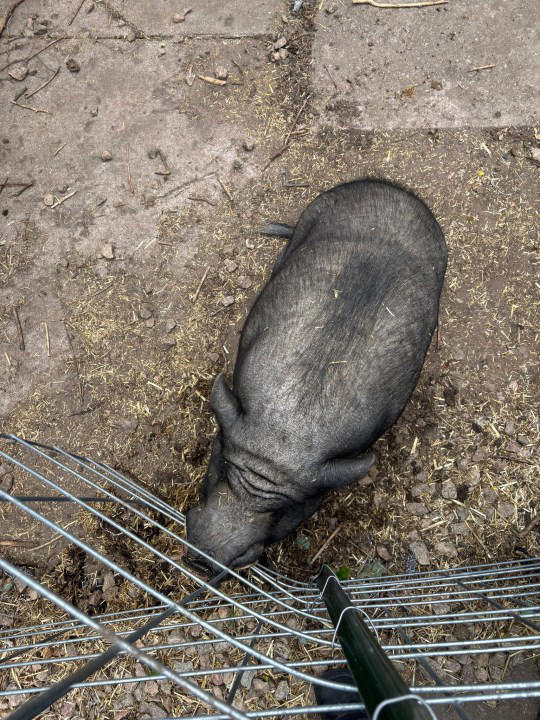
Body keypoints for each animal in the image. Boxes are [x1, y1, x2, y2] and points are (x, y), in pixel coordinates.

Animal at [186, 179, 447, 568]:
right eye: (220, 469)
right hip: (314, 211)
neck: (286, 433)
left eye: (285, 510)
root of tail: (395, 189)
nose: (210, 551)